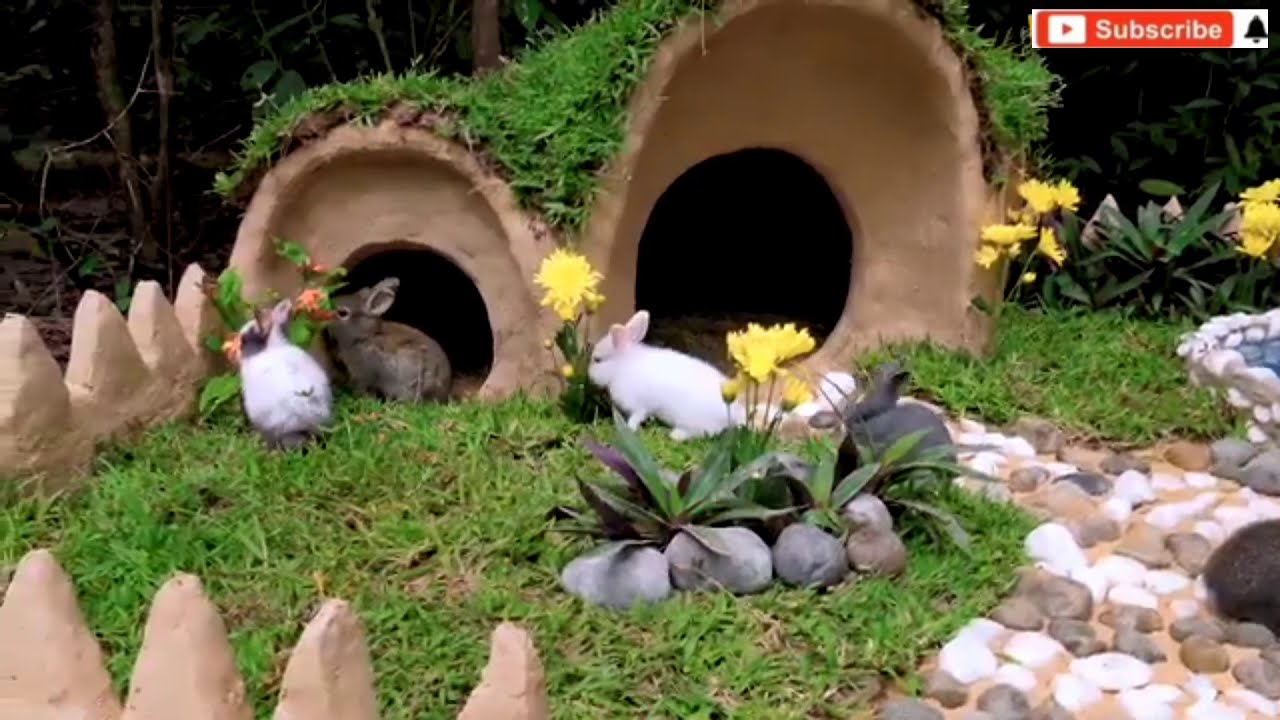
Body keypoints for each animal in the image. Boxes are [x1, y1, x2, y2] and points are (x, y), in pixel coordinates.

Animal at [587, 310, 746, 441]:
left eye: (597, 360)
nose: (589, 376)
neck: (622, 367)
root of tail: (734, 412)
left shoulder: (639, 406)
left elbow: (636, 418)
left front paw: (628, 430)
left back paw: (676, 435)